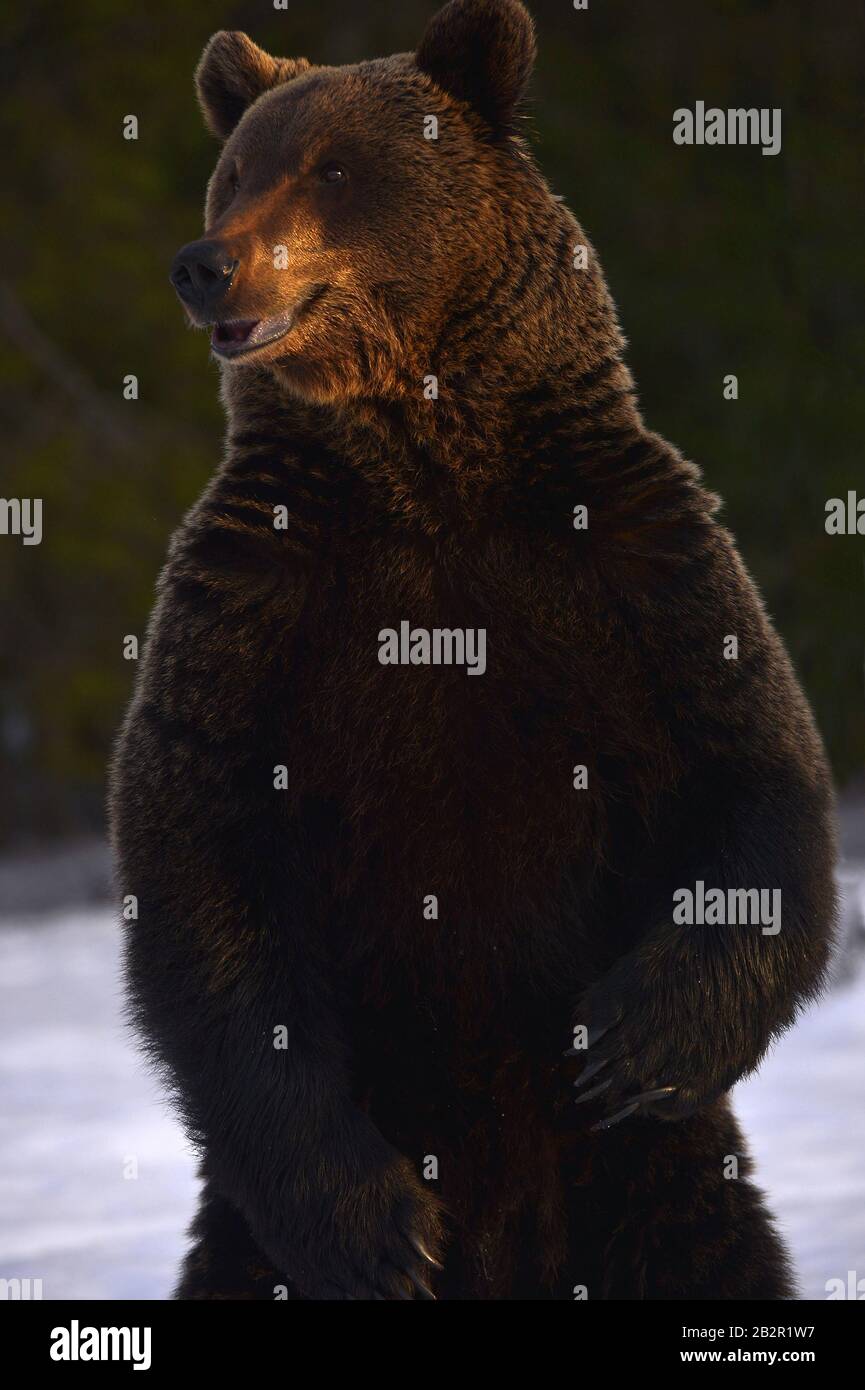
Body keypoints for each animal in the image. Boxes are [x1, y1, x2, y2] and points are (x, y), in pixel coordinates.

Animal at [109, 0, 837, 1300]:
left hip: (654, 1185)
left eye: (332, 169)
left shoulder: (630, 561)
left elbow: (757, 779)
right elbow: (197, 860)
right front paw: (382, 1230)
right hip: (248, 1238)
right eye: (233, 173)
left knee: (712, 1252)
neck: (427, 461)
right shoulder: (252, 604)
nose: (206, 264)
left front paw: (629, 1038)